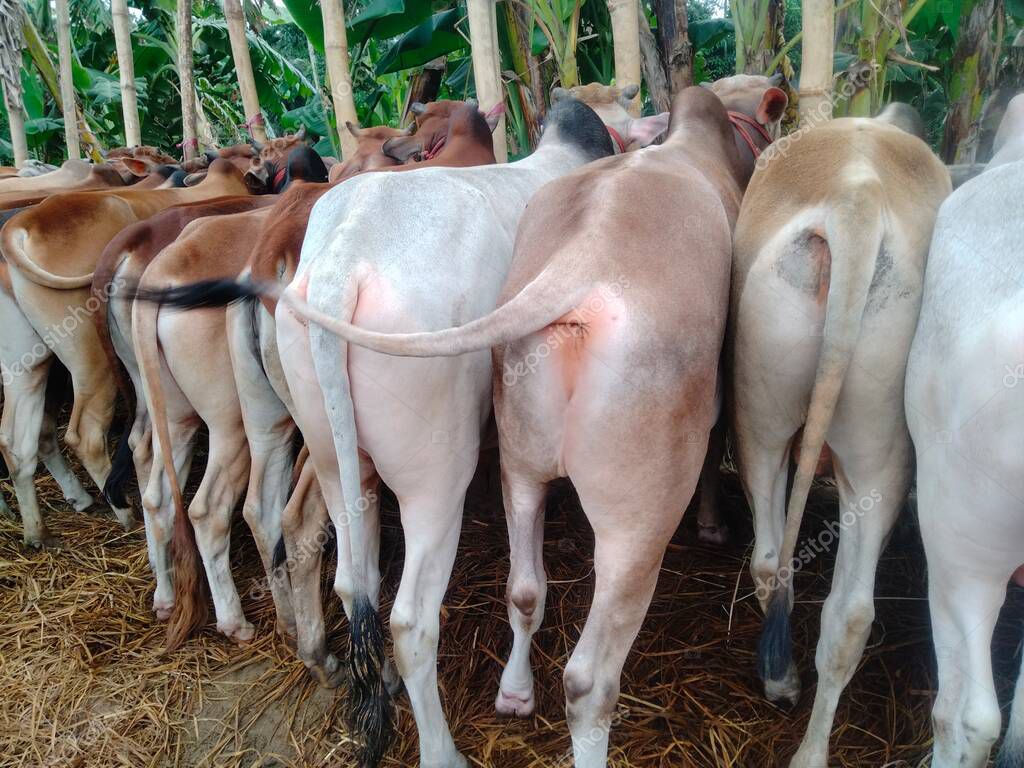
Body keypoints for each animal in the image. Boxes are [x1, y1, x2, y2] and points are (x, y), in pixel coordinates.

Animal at [261, 74, 783, 768]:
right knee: (411, 619)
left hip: (334, 455)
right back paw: (441, 749)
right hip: (440, 478)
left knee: (351, 579)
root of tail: (342, 264)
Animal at [727, 103, 950, 766]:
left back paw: (785, 692)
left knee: (777, 565)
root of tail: (858, 197)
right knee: (849, 609)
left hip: (762, 413)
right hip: (877, 453)